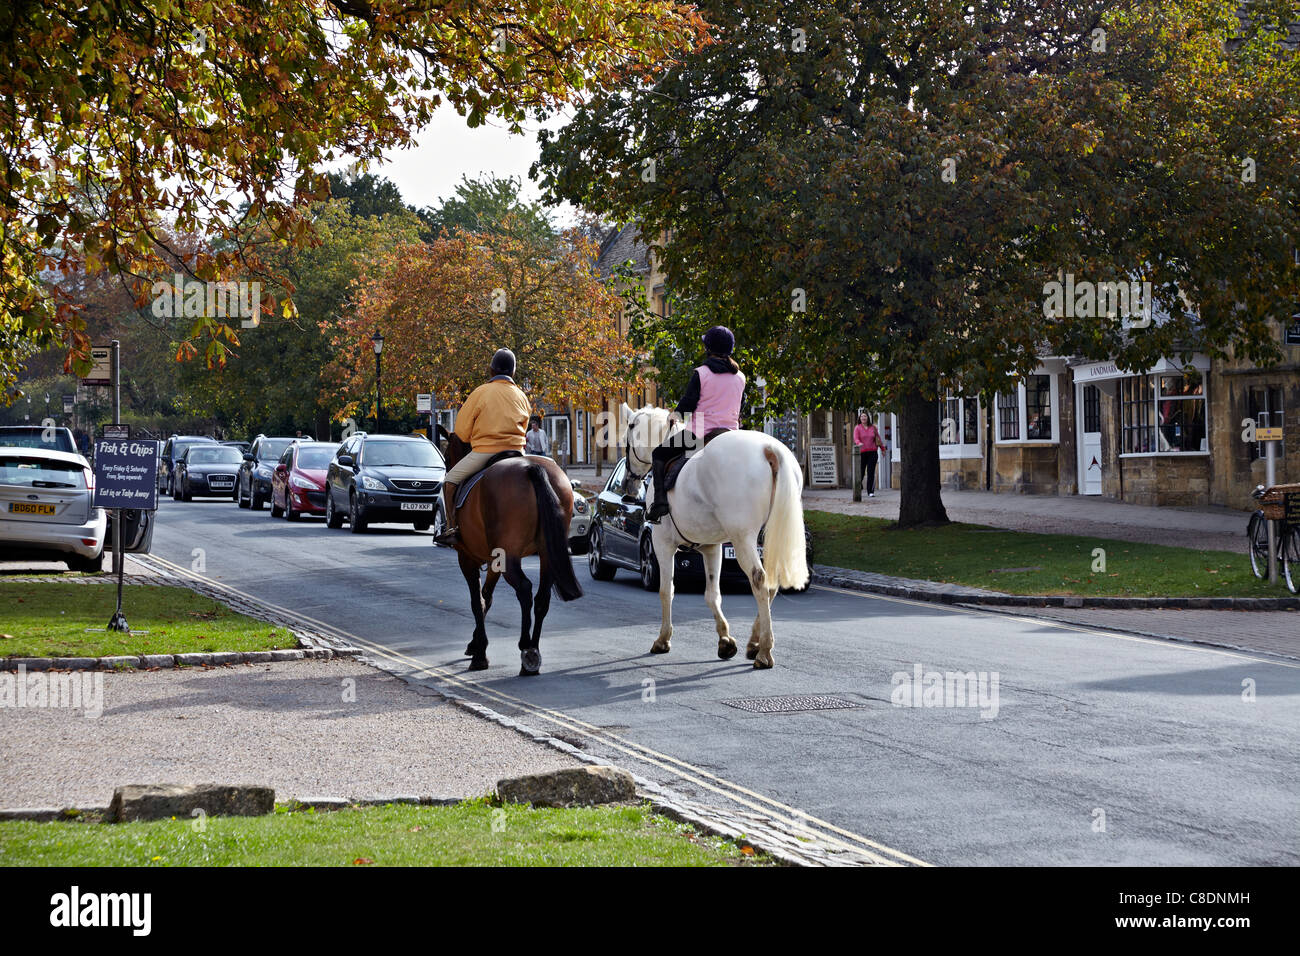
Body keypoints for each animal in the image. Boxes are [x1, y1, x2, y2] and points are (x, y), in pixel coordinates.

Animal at [436, 426, 583, 675]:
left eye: (447, 456)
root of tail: (532, 468)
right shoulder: (493, 560)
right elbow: (487, 597)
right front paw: (475, 644)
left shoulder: (467, 558)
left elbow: (477, 601)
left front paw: (480, 654)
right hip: (545, 555)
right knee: (541, 597)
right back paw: (533, 650)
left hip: (509, 555)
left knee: (524, 588)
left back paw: (527, 648)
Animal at [620, 403, 809, 669]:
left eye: (627, 433)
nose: (628, 484)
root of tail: (767, 449)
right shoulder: (711, 547)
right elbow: (712, 595)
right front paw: (725, 640)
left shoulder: (662, 543)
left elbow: (666, 590)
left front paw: (663, 639)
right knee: (771, 581)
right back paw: (755, 642)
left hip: (742, 538)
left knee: (759, 580)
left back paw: (764, 650)